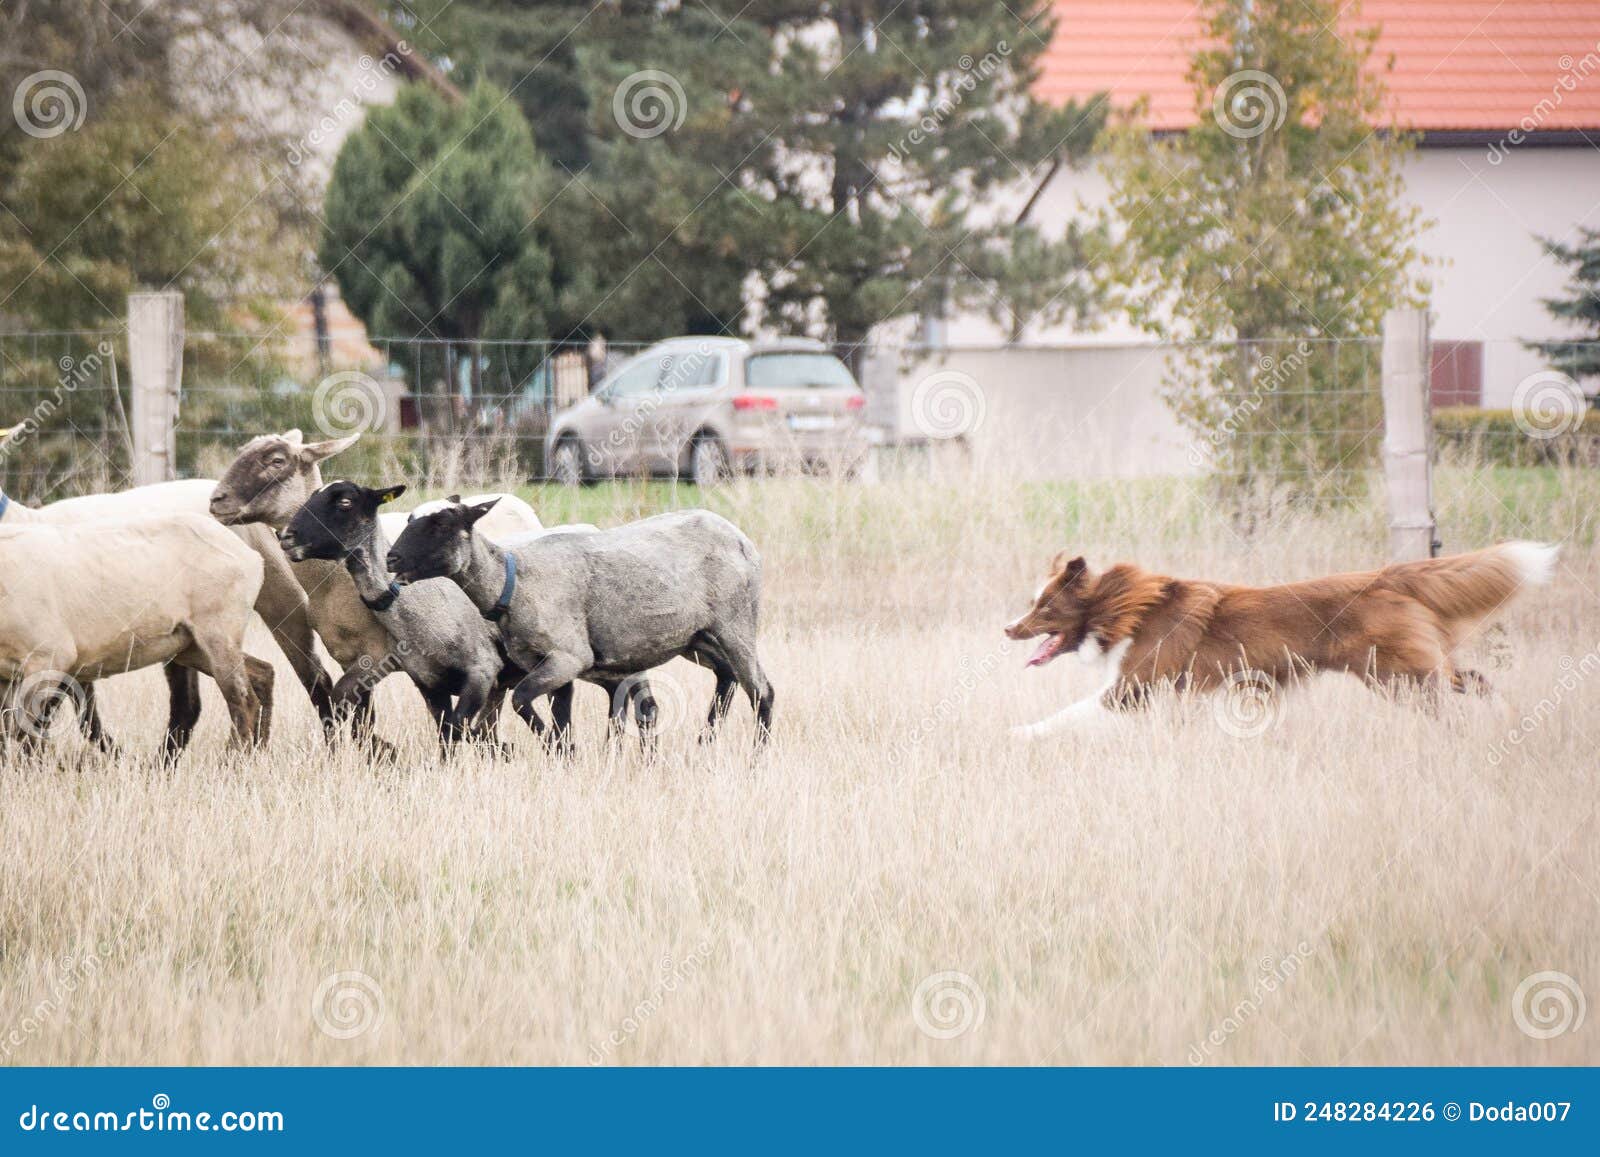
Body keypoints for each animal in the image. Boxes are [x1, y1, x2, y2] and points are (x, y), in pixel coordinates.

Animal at [0, 513, 273, 754]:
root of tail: (253, 557)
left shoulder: (50, 657)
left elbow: (23, 730)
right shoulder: (7, 675)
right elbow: (7, 729)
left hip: (218, 630)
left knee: (242, 698)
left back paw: (233, 760)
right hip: (189, 645)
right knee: (263, 673)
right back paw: (260, 751)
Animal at [207, 431, 546, 748]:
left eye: (276, 460)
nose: (216, 501)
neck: (330, 583)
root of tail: (517, 502)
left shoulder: (380, 654)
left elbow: (346, 703)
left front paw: (383, 750)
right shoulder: (348, 656)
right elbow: (359, 713)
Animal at [388, 502, 774, 745]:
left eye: (441, 525)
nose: (391, 558)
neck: (514, 581)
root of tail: (742, 539)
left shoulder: (568, 657)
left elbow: (522, 701)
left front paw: (550, 746)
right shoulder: (552, 666)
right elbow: (560, 720)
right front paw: (564, 754)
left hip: (736, 625)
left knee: (761, 691)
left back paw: (756, 759)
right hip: (699, 637)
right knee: (727, 678)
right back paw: (704, 743)